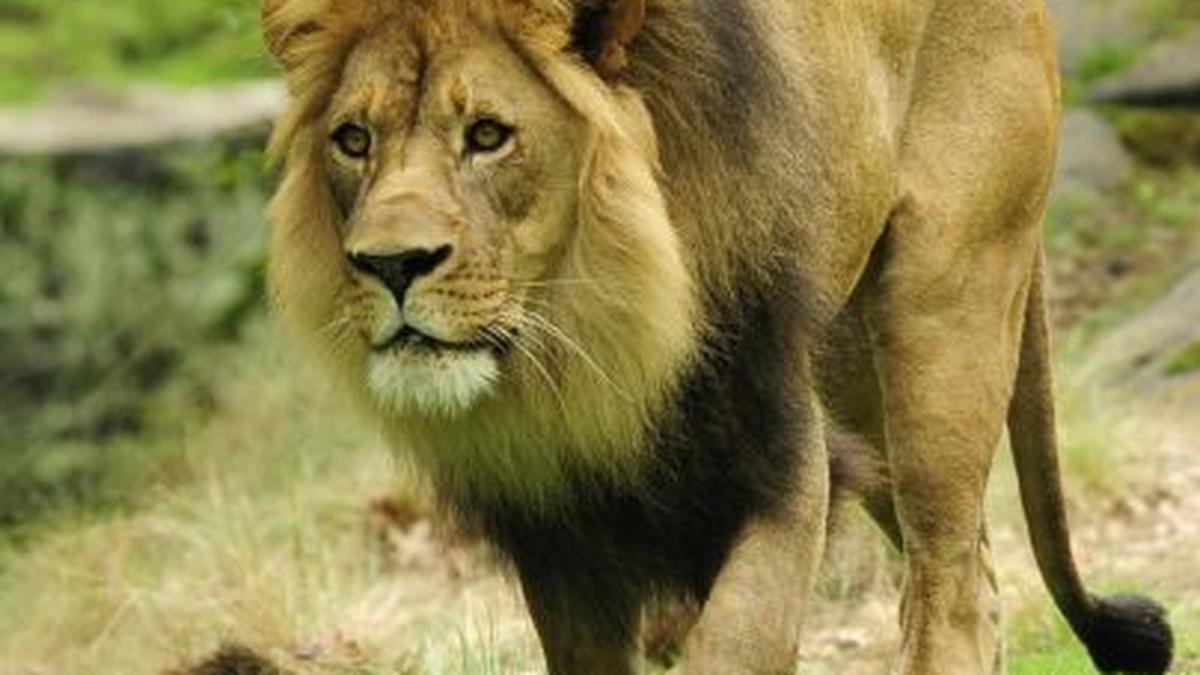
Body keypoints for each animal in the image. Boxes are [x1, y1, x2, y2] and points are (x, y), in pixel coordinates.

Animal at [261, 1, 1175, 673]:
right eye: (354, 140)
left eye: (488, 134)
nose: (391, 263)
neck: (591, 346)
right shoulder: (559, 531)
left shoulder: (784, 459)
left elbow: (732, 646)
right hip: (857, 373)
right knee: (974, 572)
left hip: (946, 307)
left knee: (947, 584)